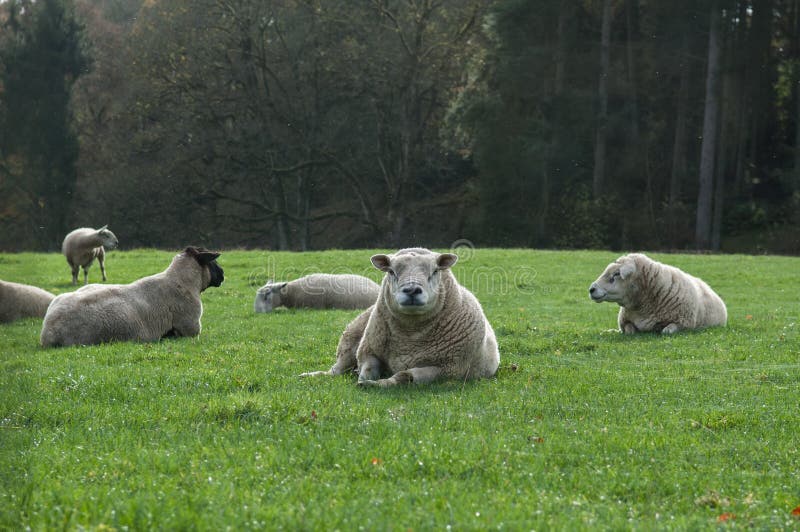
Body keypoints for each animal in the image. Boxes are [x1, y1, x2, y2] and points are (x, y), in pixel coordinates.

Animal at [301, 248, 500, 387]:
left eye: (435, 271)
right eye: (391, 272)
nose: (411, 290)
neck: (409, 337)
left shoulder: (446, 369)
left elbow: (404, 375)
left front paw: (376, 384)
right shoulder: (368, 350)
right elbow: (367, 370)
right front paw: (364, 380)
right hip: (351, 340)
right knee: (335, 370)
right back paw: (311, 375)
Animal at [588, 253, 727, 334]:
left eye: (616, 274)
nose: (591, 289)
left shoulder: (684, 323)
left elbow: (667, 331)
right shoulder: (626, 322)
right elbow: (629, 331)